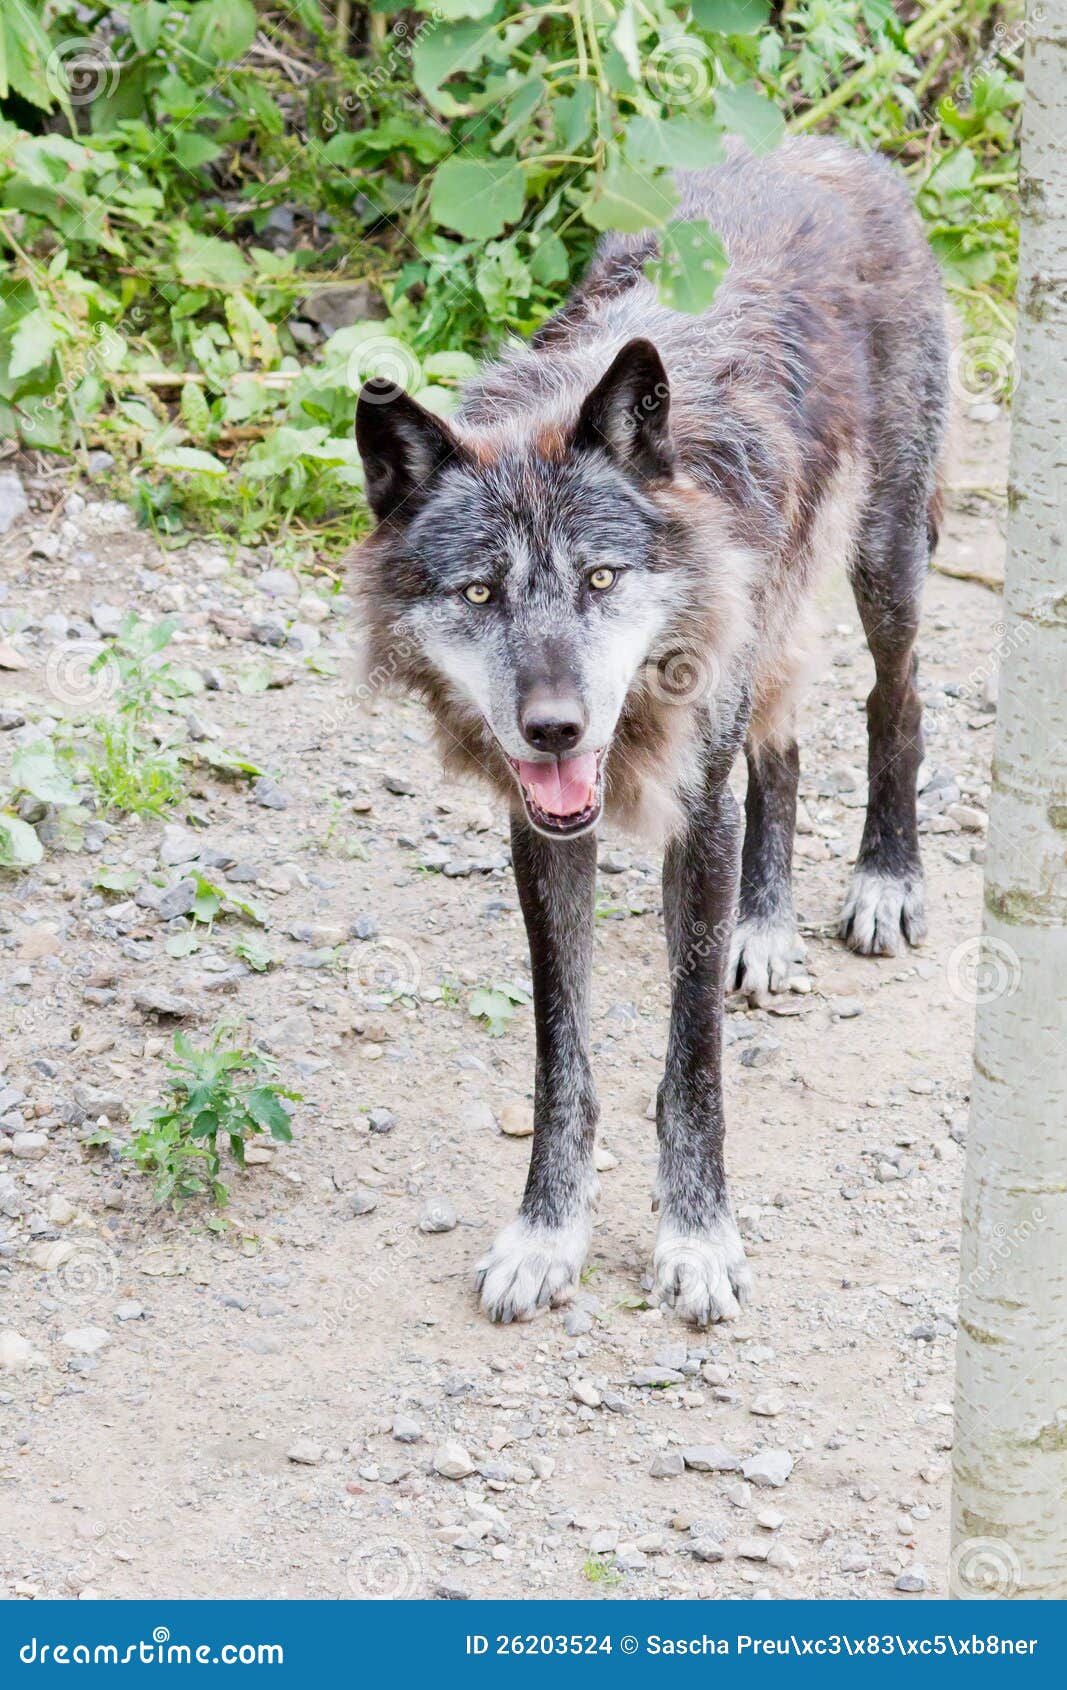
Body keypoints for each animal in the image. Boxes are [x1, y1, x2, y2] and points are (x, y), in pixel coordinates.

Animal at [351, 137, 949, 1326]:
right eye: (480, 592)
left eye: (599, 577)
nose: (551, 728)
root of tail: (830, 147)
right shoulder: (542, 836)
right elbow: (562, 1059)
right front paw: (545, 1233)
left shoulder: (694, 815)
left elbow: (691, 1061)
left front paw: (698, 1237)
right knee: (784, 743)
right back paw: (763, 927)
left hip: (885, 561)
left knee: (892, 704)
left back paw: (882, 881)